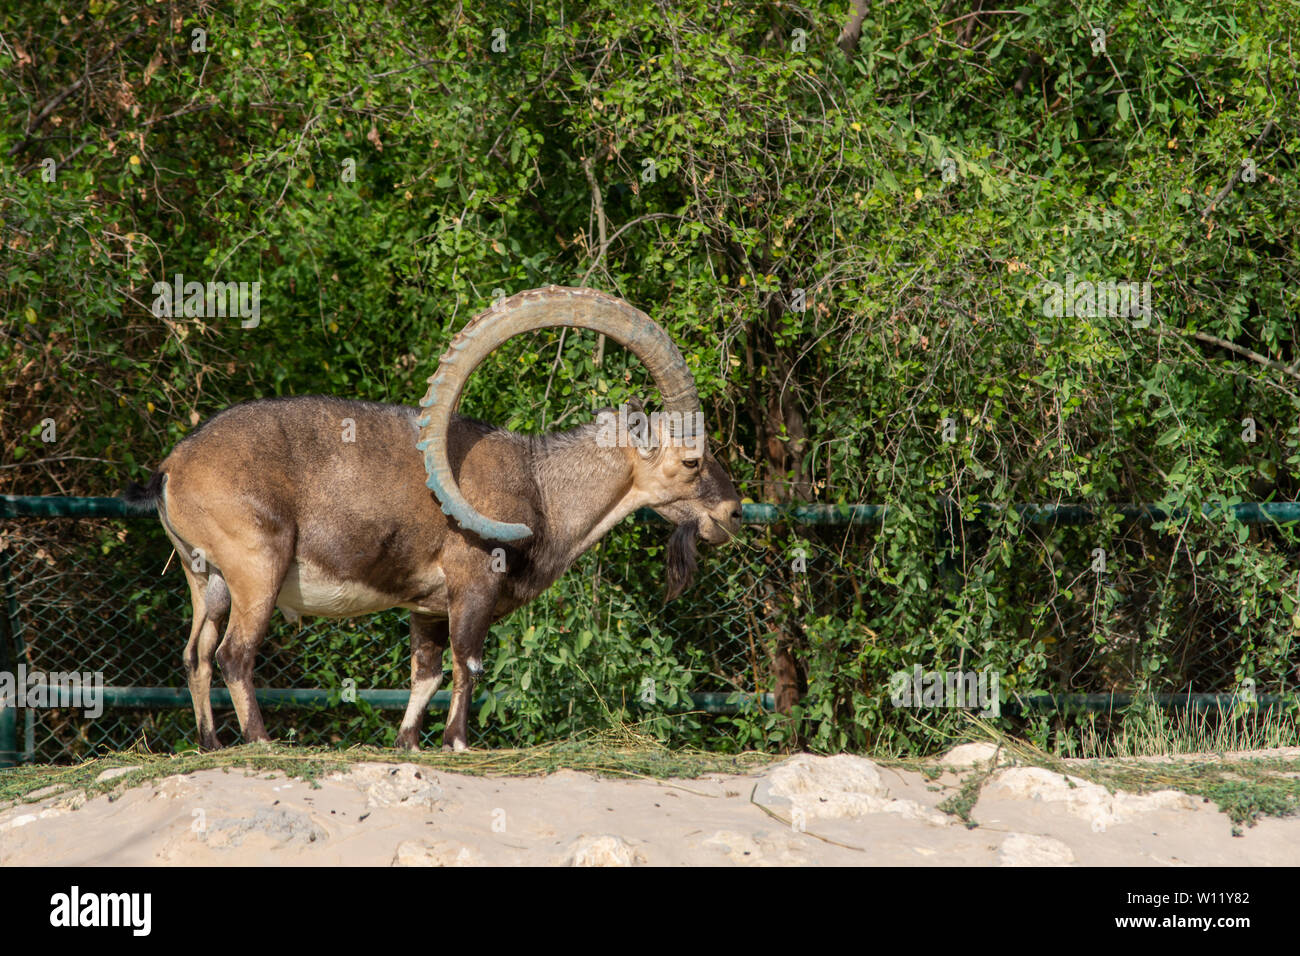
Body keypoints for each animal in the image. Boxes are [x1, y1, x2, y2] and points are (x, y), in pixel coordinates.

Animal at [123, 286, 742, 751]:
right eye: (692, 461)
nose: (732, 513)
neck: (541, 485)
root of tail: (172, 468)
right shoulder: (474, 584)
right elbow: (469, 664)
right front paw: (458, 743)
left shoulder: (425, 607)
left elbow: (426, 672)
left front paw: (408, 742)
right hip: (257, 566)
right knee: (234, 655)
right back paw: (261, 742)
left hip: (205, 578)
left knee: (196, 655)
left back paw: (210, 744)